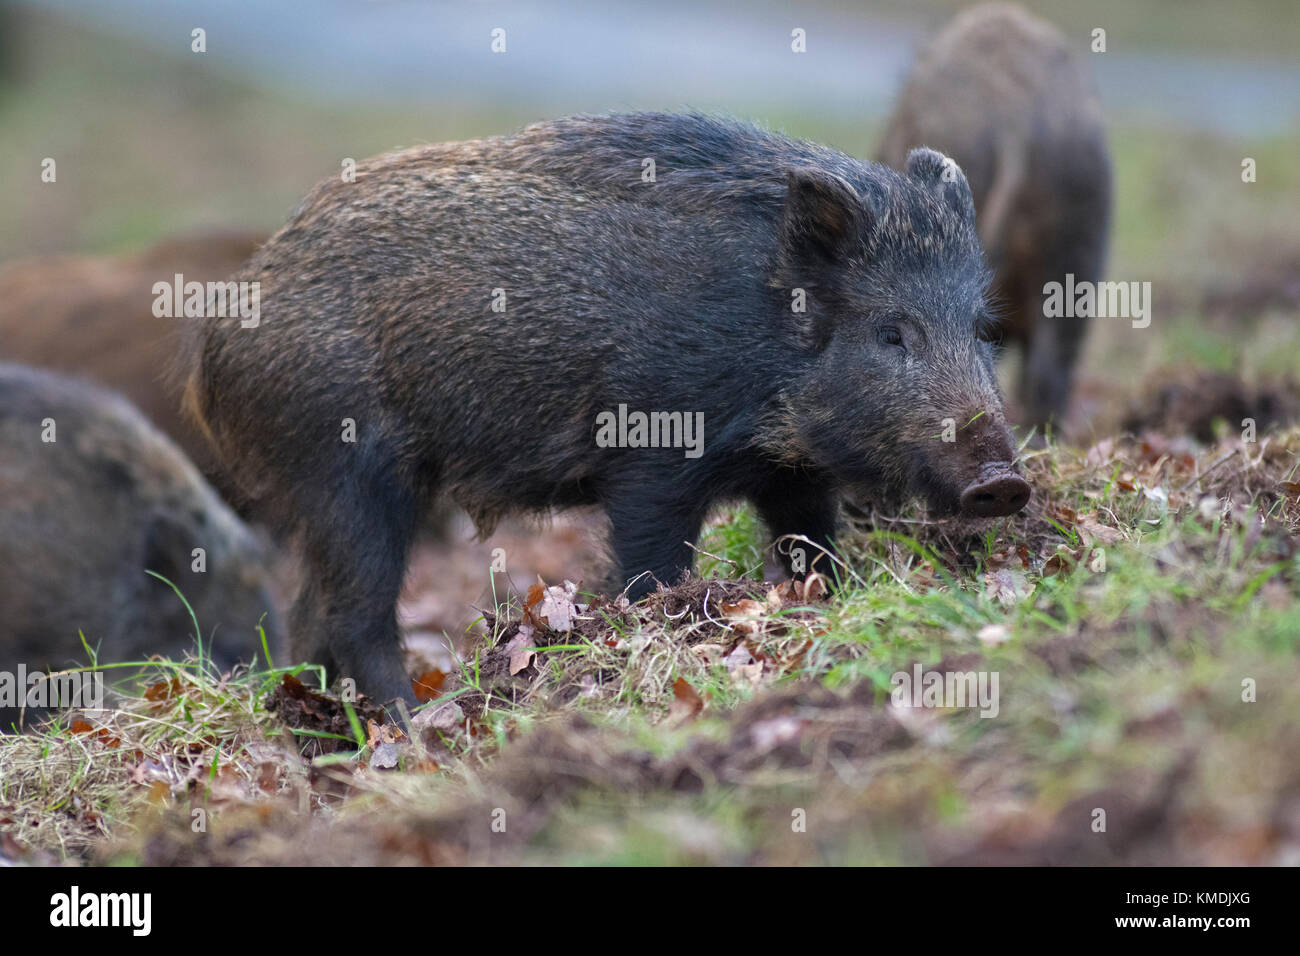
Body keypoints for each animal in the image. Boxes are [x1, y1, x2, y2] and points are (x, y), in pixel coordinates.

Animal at [182, 111, 1030, 706]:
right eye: (891, 332)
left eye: (982, 330)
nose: (1004, 482)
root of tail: (214, 349)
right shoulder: (652, 458)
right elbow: (651, 568)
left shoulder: (792, 474)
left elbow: (812, 551)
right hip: (346, 471)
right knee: (355, 617)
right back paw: (418, 724)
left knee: (311, 617)